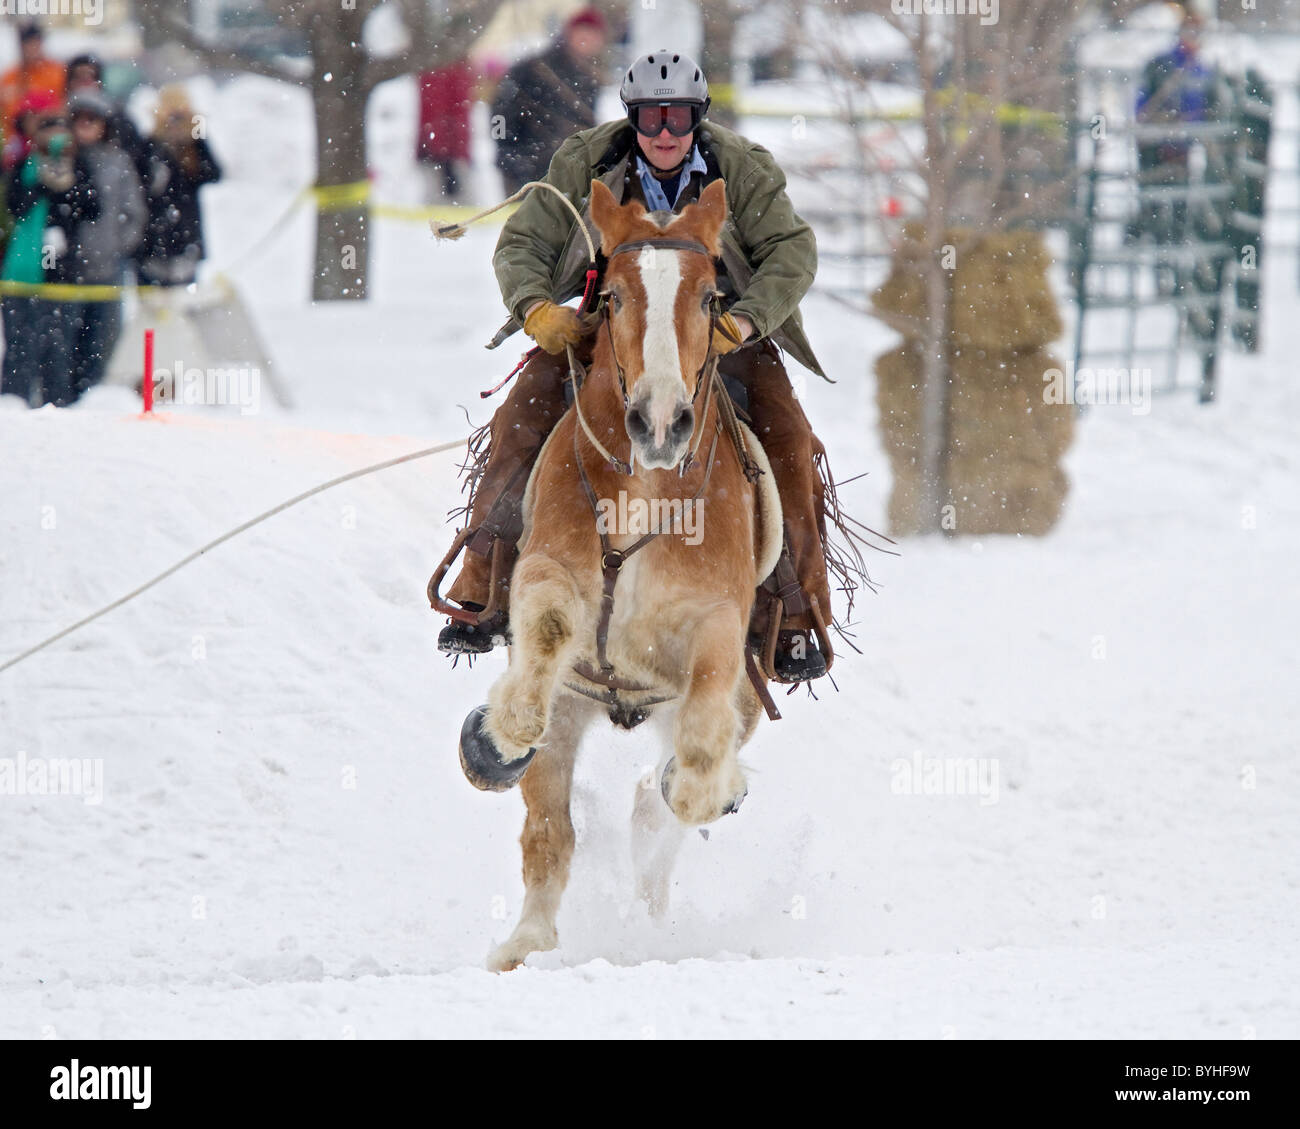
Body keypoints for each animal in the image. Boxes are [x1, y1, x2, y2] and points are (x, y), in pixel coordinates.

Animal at [456, 178, 785, 972]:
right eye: (610, 297)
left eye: (710, 296)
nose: (659, 421)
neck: (648, 490)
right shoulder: (549, 567)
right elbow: (547, 626)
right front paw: (503, 724)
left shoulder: (716, 620)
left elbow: (697, 761)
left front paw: (707, 783)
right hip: (573, 717)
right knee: (550, 827)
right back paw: (526, 943)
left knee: (662, 809)